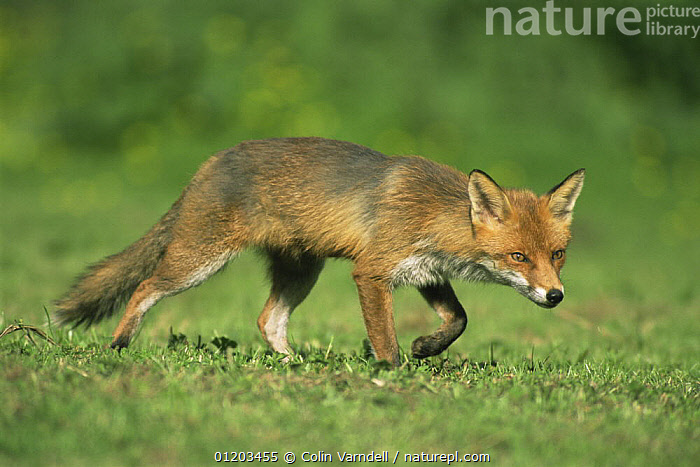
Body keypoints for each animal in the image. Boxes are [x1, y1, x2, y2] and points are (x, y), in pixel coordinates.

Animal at [55, 137, 585, 365]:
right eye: (518, 257)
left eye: (557, 254)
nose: (556, 296)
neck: (433, 215)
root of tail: (212, 159)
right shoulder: (372, 272)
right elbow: (386, 341)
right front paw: (393, 375)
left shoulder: (426, 272)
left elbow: (459, 321)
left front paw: (426, 348)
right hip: (199, 262)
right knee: (144, 286)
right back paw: (119, 345)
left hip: (301, 273)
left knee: (268, 321)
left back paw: (294, 366)